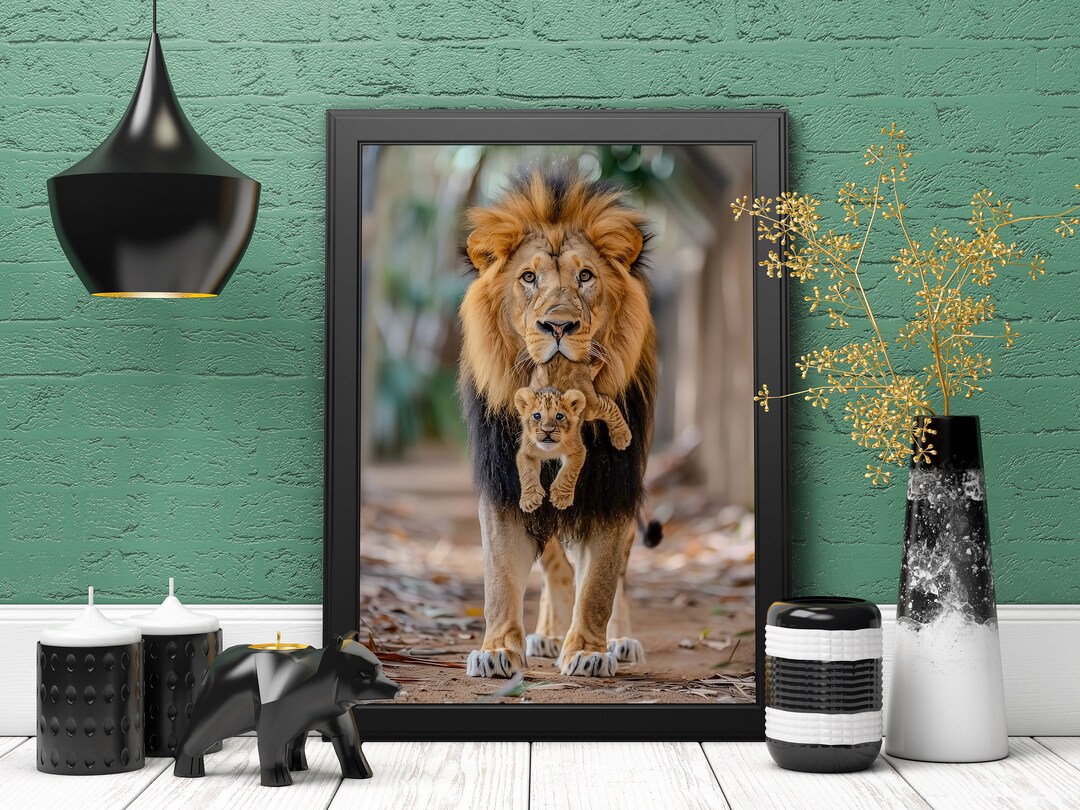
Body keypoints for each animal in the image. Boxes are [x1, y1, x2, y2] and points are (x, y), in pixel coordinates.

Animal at [458, 162, 656, 678]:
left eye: (585, 276)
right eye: (529, 277)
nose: (559, 326)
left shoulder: (614, 485)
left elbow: (601, 582)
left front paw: (588, 650)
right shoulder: (505, 482)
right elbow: (500, 579)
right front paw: (497, 650)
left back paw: (619, 640)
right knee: (554, 564)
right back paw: (546, 634)